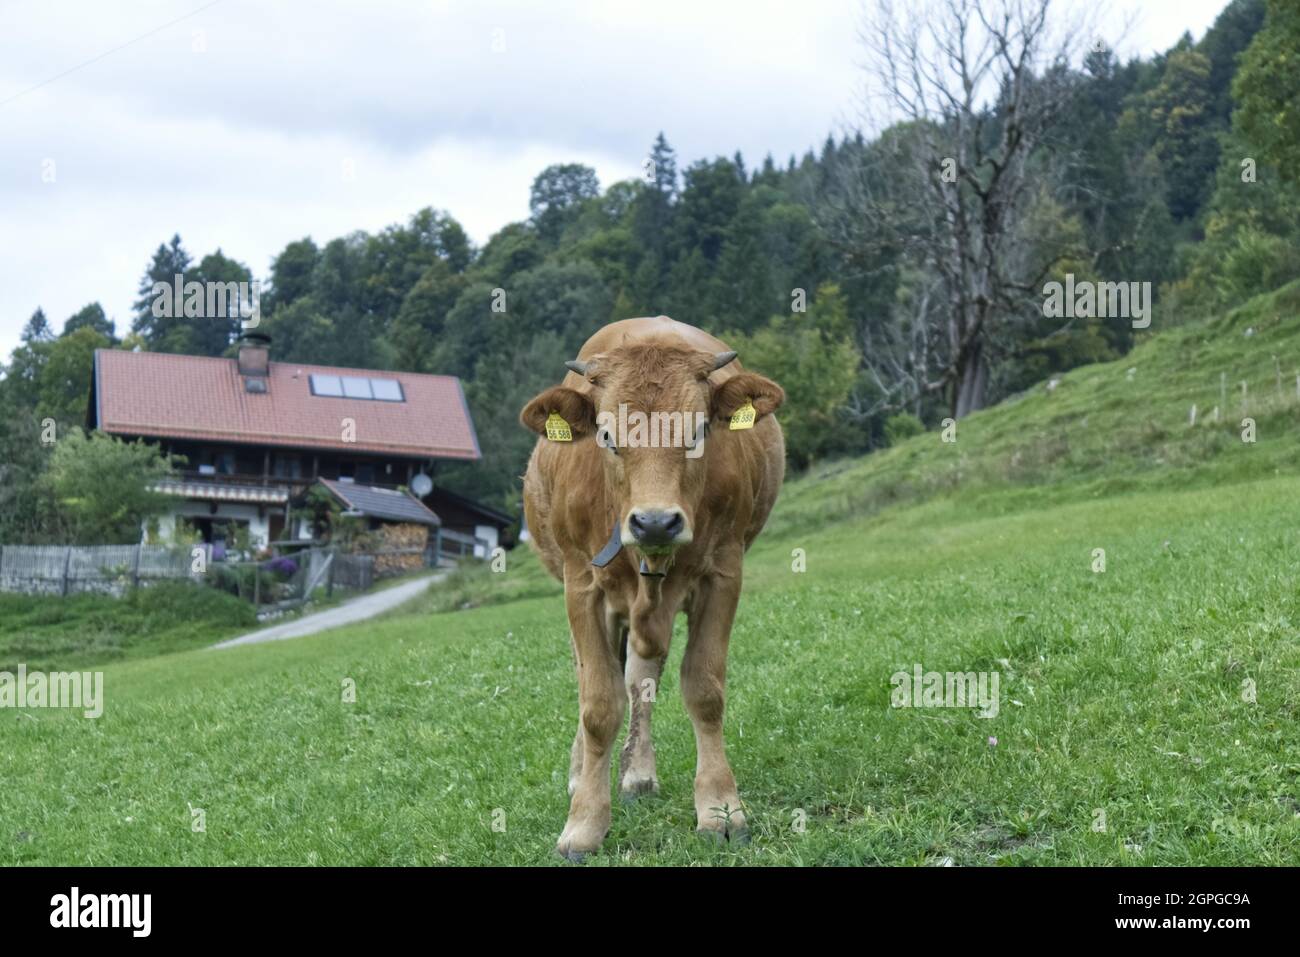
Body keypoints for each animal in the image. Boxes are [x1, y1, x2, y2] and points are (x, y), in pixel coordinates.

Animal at [519, 315, 785, 860]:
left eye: (700, 429)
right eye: (605, 434)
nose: (656, 522)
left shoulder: (724, 573)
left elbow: (703, 689)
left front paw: (720, 809)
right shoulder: (581, 585)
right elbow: (598, 704)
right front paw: (584, 823)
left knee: (642, 674)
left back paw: (637, 774)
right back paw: (583, 774)